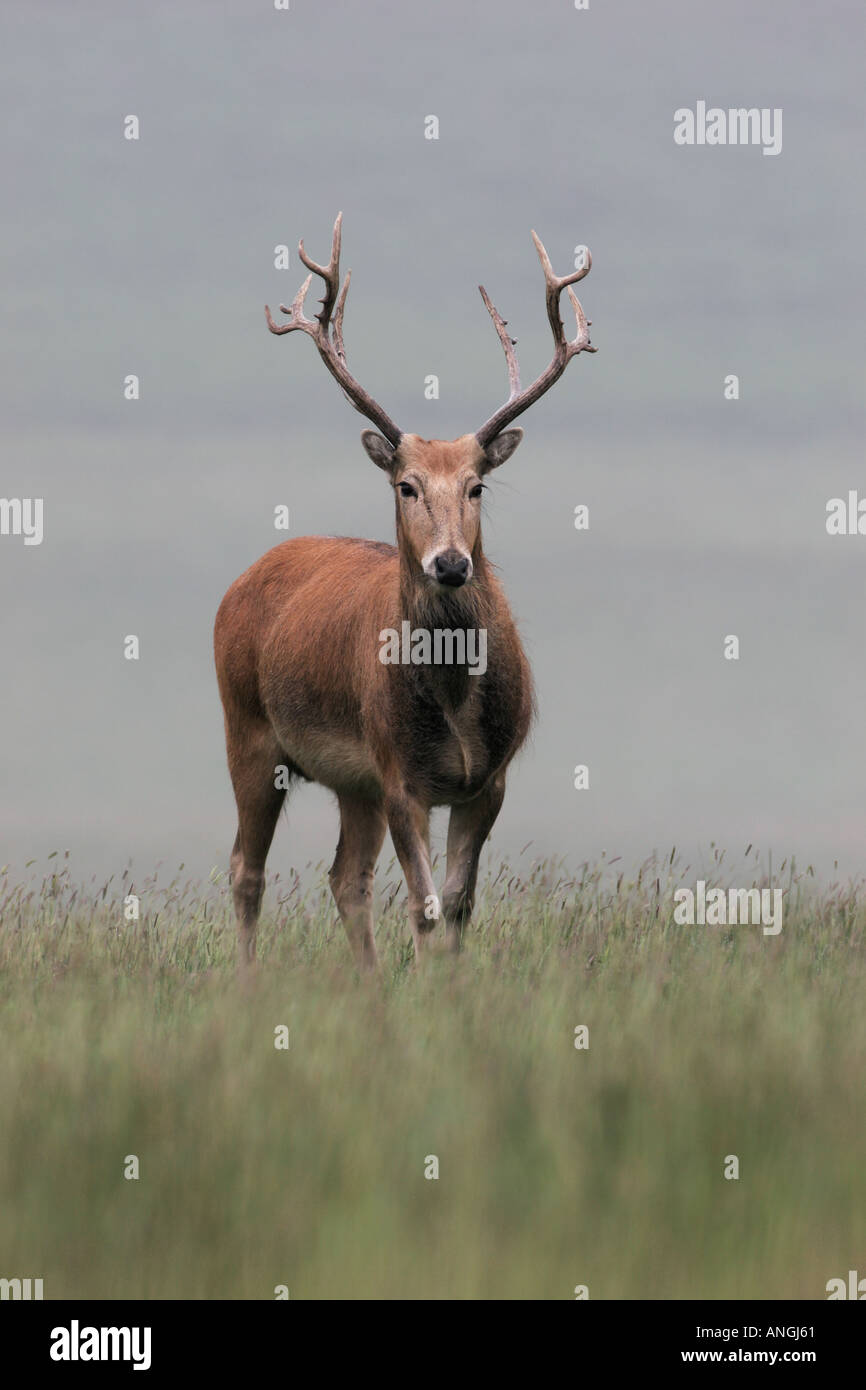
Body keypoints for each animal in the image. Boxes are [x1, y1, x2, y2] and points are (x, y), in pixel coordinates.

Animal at [214, 214, 596, 971]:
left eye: (476, 486)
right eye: (406, 485)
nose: (449, 563)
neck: (454, 702)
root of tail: (241, 581)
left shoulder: (488, 780)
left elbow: (458, 902)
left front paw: (448, 988)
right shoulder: (401, 776)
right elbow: (422, 906)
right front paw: (423, 985)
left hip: (349, 778)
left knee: (345, 877)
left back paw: (368, 984)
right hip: (248, 728)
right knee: (247, 868)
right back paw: (245, 984)